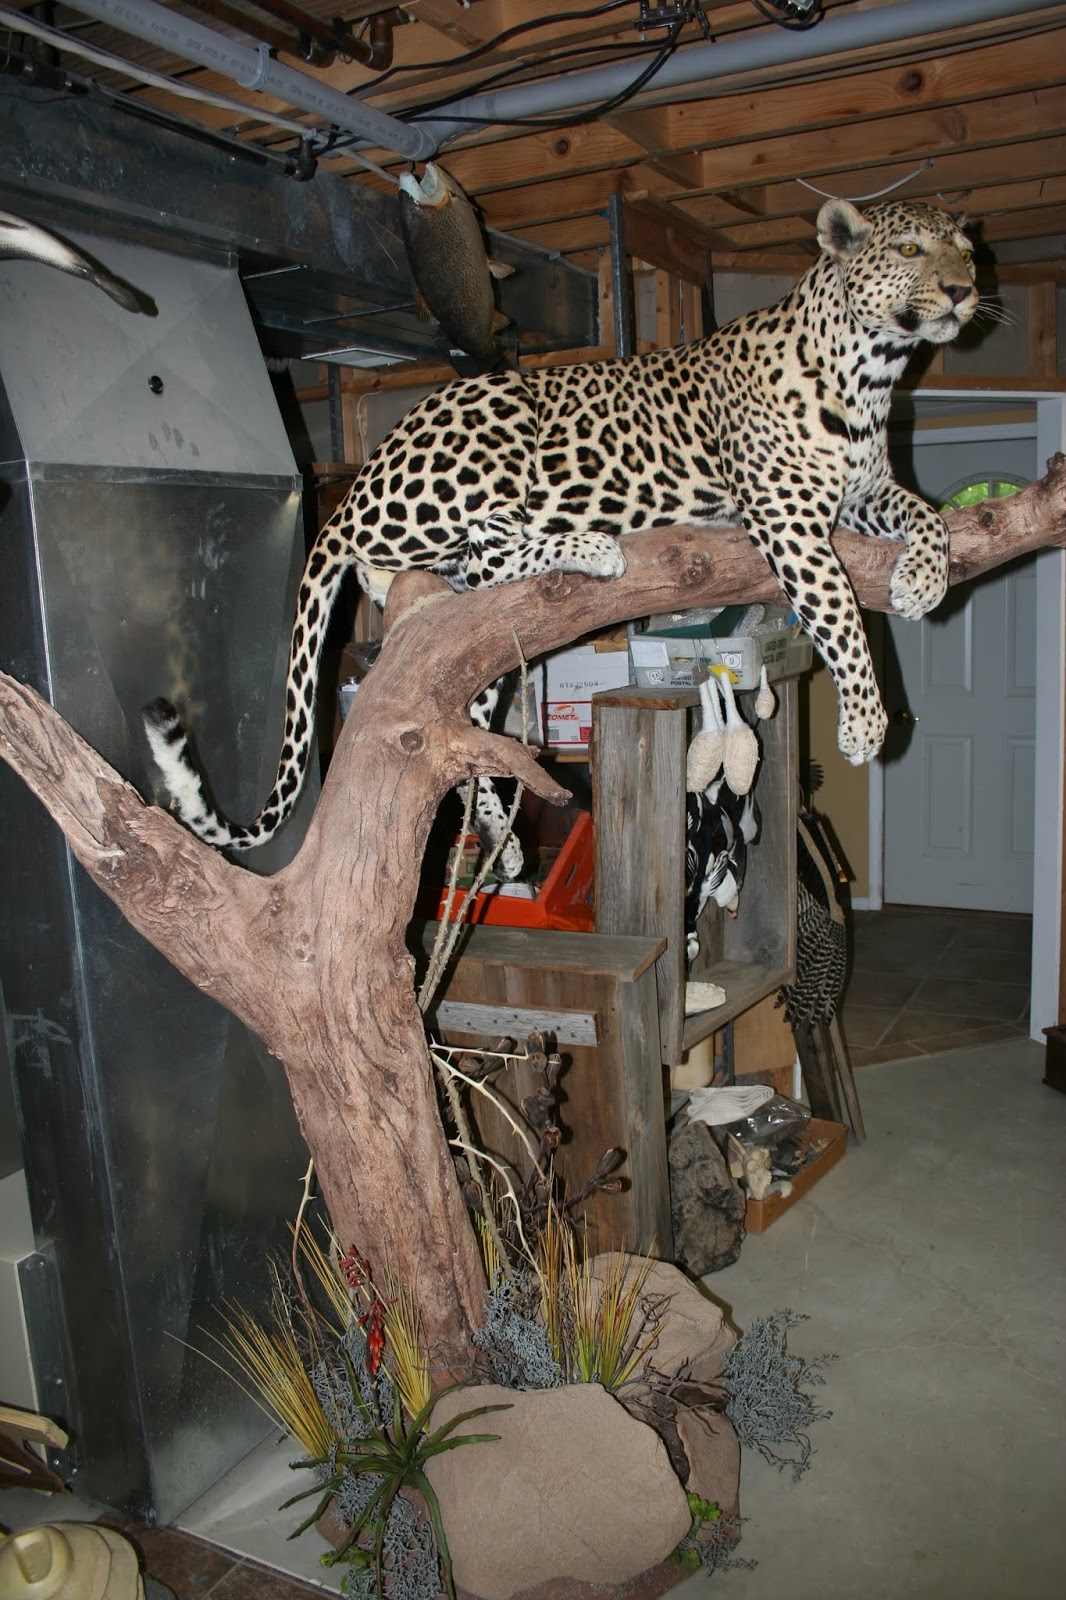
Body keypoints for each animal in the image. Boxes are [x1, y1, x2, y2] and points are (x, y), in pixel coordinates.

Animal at [145, 197, 977, 871]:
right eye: (910, 249)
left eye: (965, 251)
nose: (964, 290)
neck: (872, 375)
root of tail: (356, 483)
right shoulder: (789, 515)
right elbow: (840, 613)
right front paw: (867, 722)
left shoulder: (862, 494)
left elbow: (926, 512)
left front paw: (923, 577)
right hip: (495, 415)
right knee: (475, 546)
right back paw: (591, 547)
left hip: (473, 658)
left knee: (464, 719)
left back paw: (506, 846)